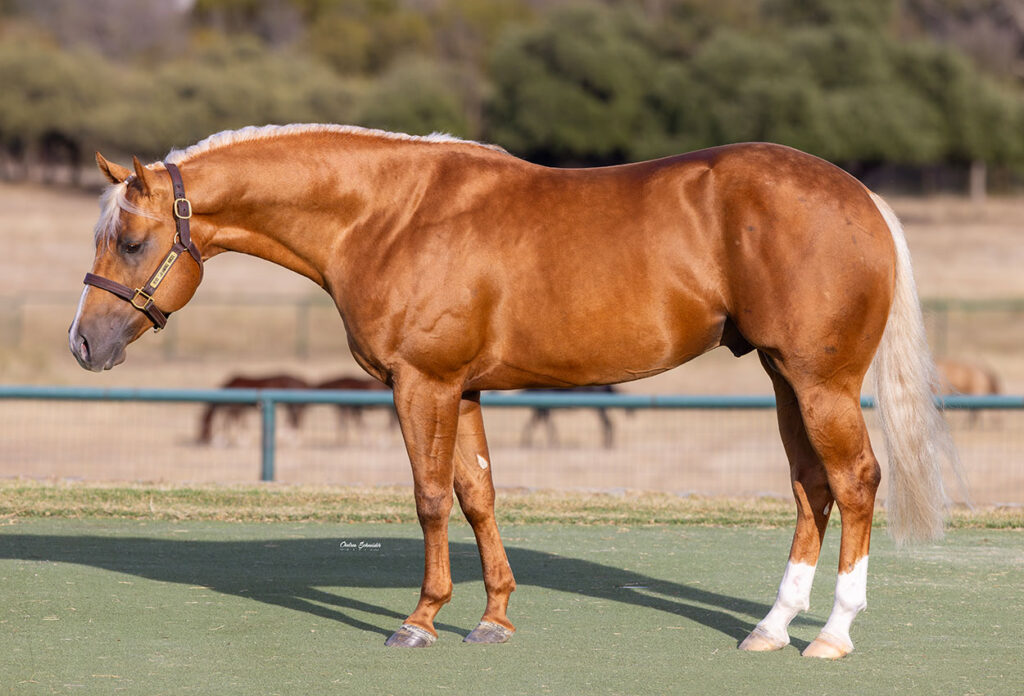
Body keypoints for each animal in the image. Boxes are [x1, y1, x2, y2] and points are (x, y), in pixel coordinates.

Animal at [69, 123, 960, 658]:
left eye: (133, 240)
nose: (84, 343)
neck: (390, 215)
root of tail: (860, 197)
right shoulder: (462, 391)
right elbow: (478, 495)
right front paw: (494, 618)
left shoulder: (421, 385)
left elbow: (430, 497)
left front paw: (420, 620)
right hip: (784, 379)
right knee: (812, 489)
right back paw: (771, 627)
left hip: (821, 383)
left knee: (856, 482)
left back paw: (833, 634)